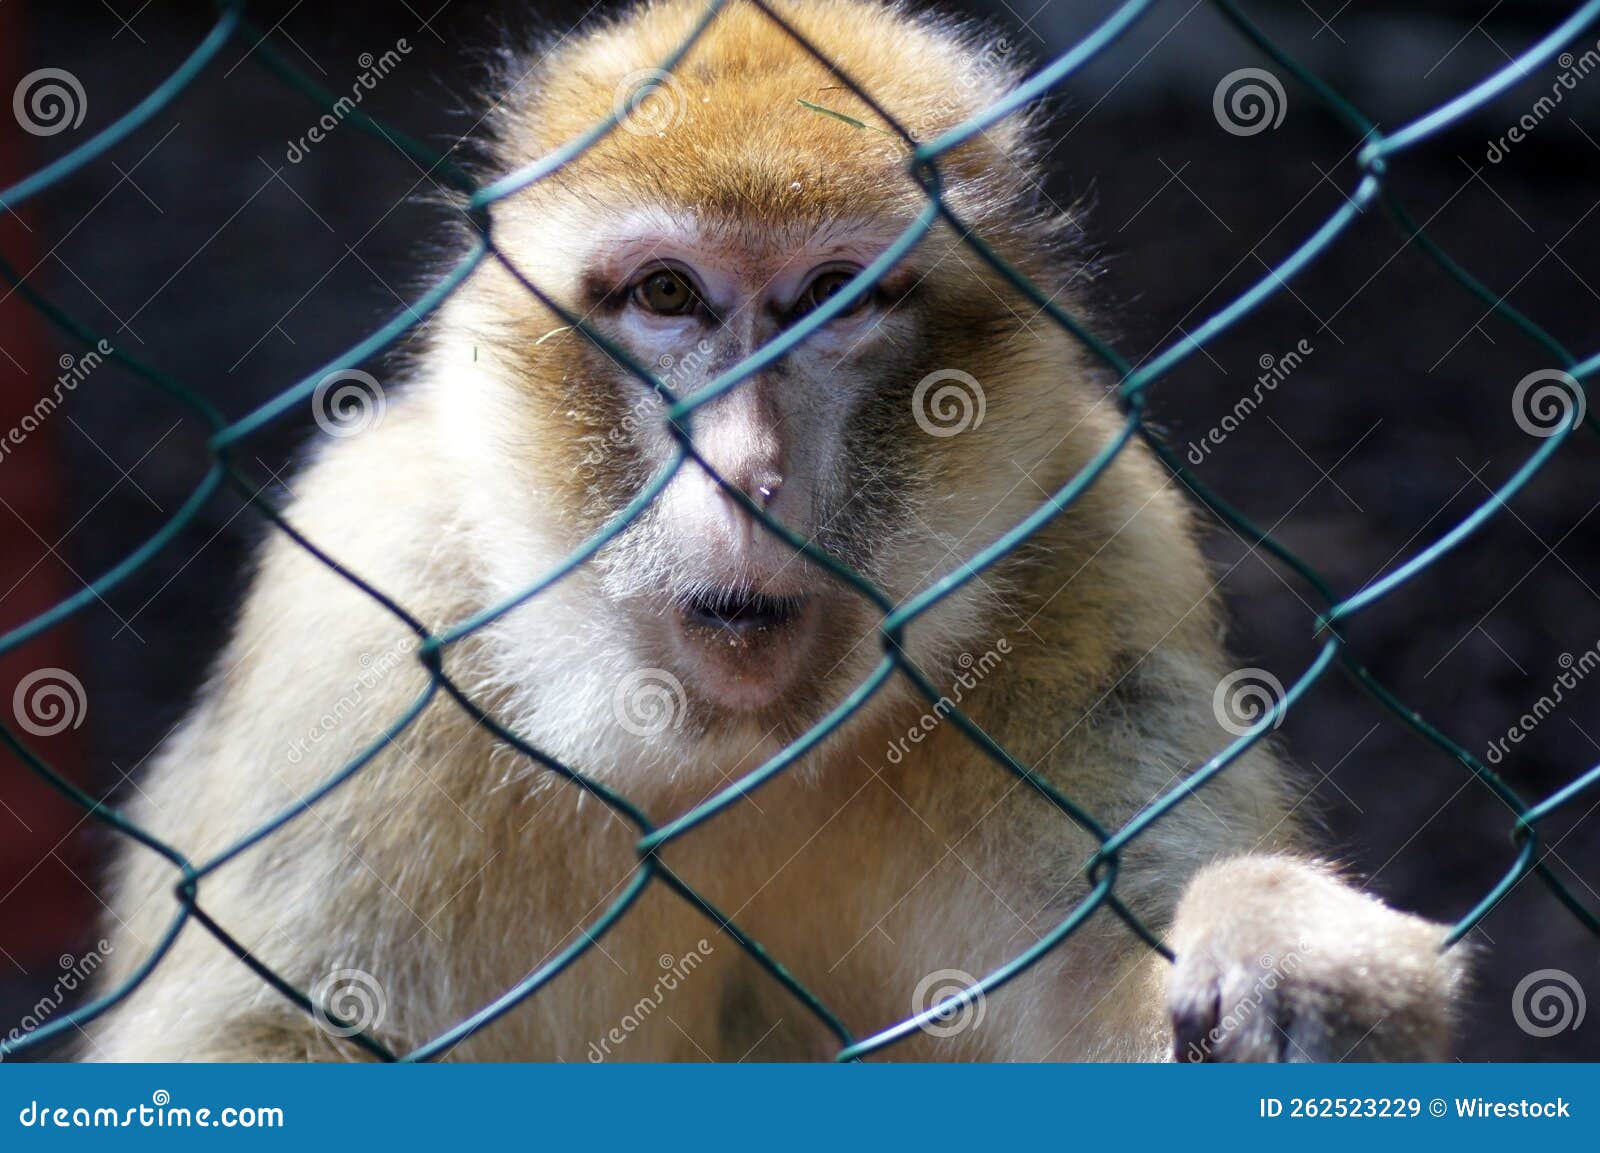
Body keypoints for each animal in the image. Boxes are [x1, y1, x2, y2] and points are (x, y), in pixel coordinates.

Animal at [83, 0, 1465, 1062]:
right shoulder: (377, 612)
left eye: (831, 298)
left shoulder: (1096, 560)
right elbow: (259, 1039)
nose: (742, 470)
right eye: (667, 294)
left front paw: (1290, 961)